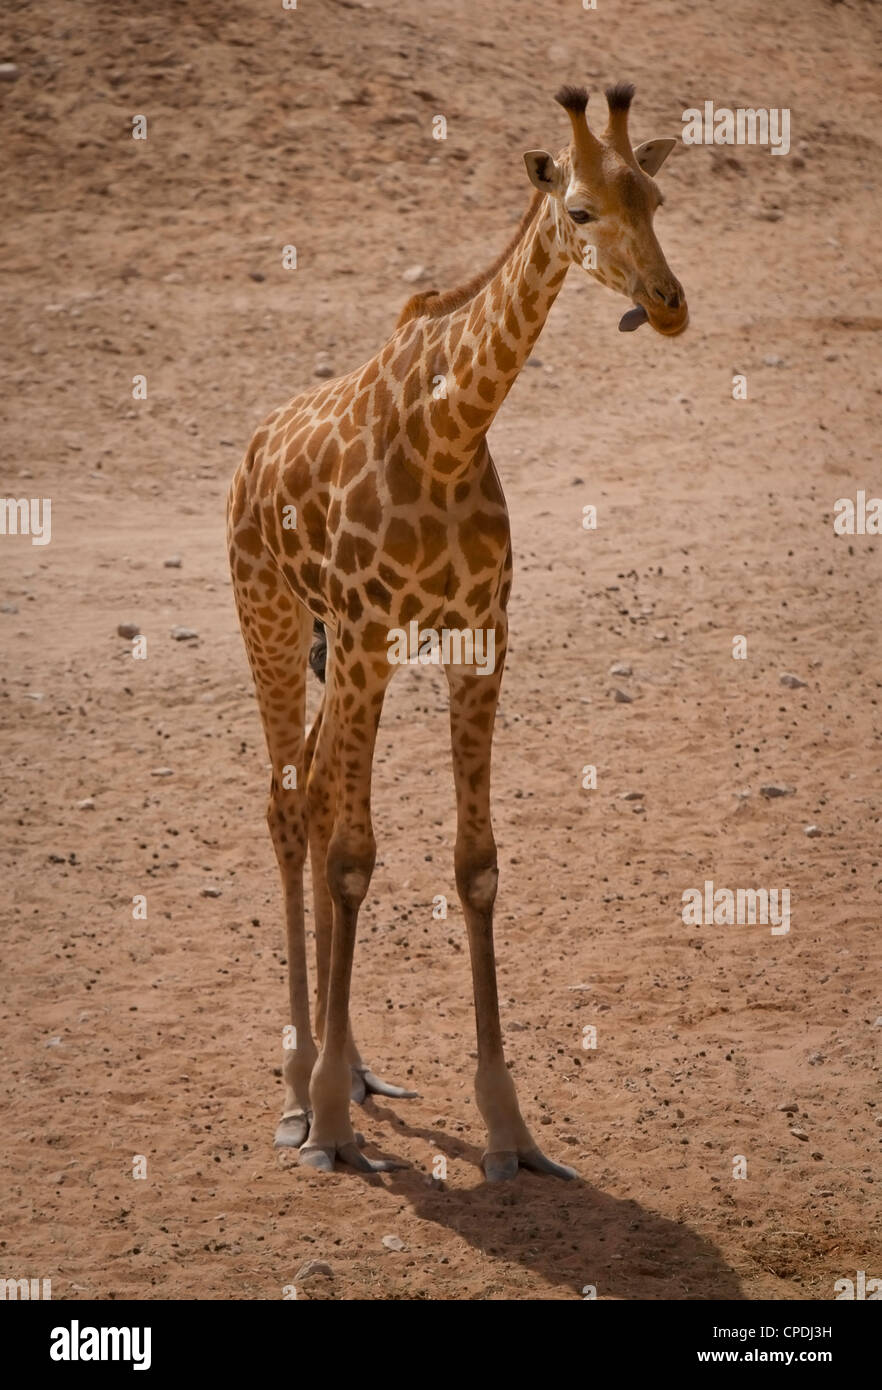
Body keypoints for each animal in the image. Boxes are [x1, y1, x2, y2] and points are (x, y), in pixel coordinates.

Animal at [227, 83, 688, 1180]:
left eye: (656, 197)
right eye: (580, 210)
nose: (666, 303)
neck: (450, 429)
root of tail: (250, 452)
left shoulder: (478, 636)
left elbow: (474, 864)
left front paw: (511, 1131)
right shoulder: (363, 633)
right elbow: (356, 855)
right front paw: (330, 1128)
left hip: (357, 650)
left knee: (316, 797)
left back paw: (353, 1069)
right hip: (275, 614)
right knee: (289, 805)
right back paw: (300, 1090)